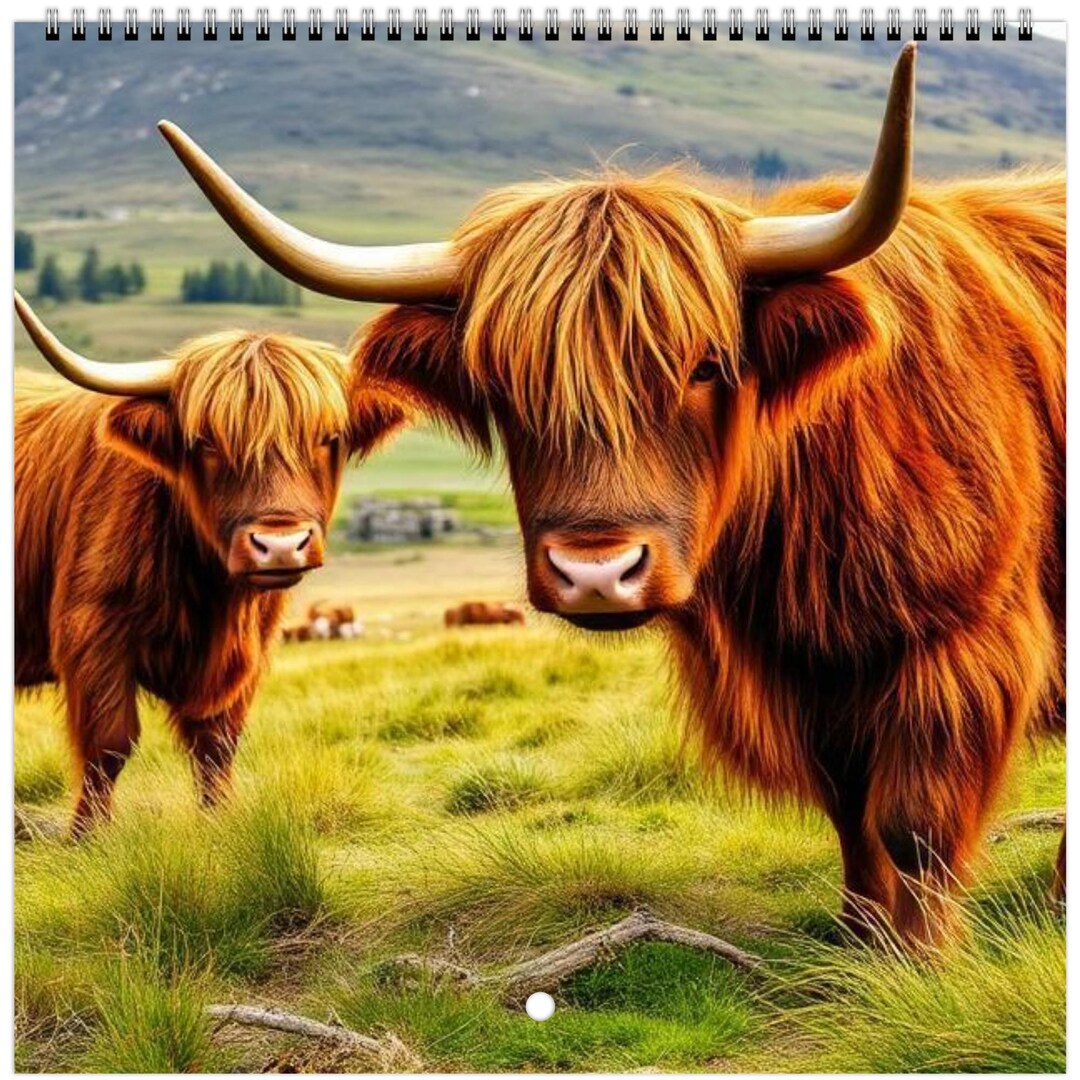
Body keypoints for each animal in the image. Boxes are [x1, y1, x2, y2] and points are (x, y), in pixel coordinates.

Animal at [14, 293, 402, 833]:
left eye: (328, 436)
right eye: (207, 443)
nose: (280, 544)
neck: (210, 595)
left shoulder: (247, 650)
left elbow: (217, 744)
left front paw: (221, 823)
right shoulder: (93, 630)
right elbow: (108, 743)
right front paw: (88, 837)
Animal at [159, 44, 1065, 943]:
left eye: (706, 365)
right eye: (504, 384)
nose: (596, 572)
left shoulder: (957, 640)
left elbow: (912, 824)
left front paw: (916, 961)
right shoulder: (808, 680)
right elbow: (850, 808)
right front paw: (858, 937)